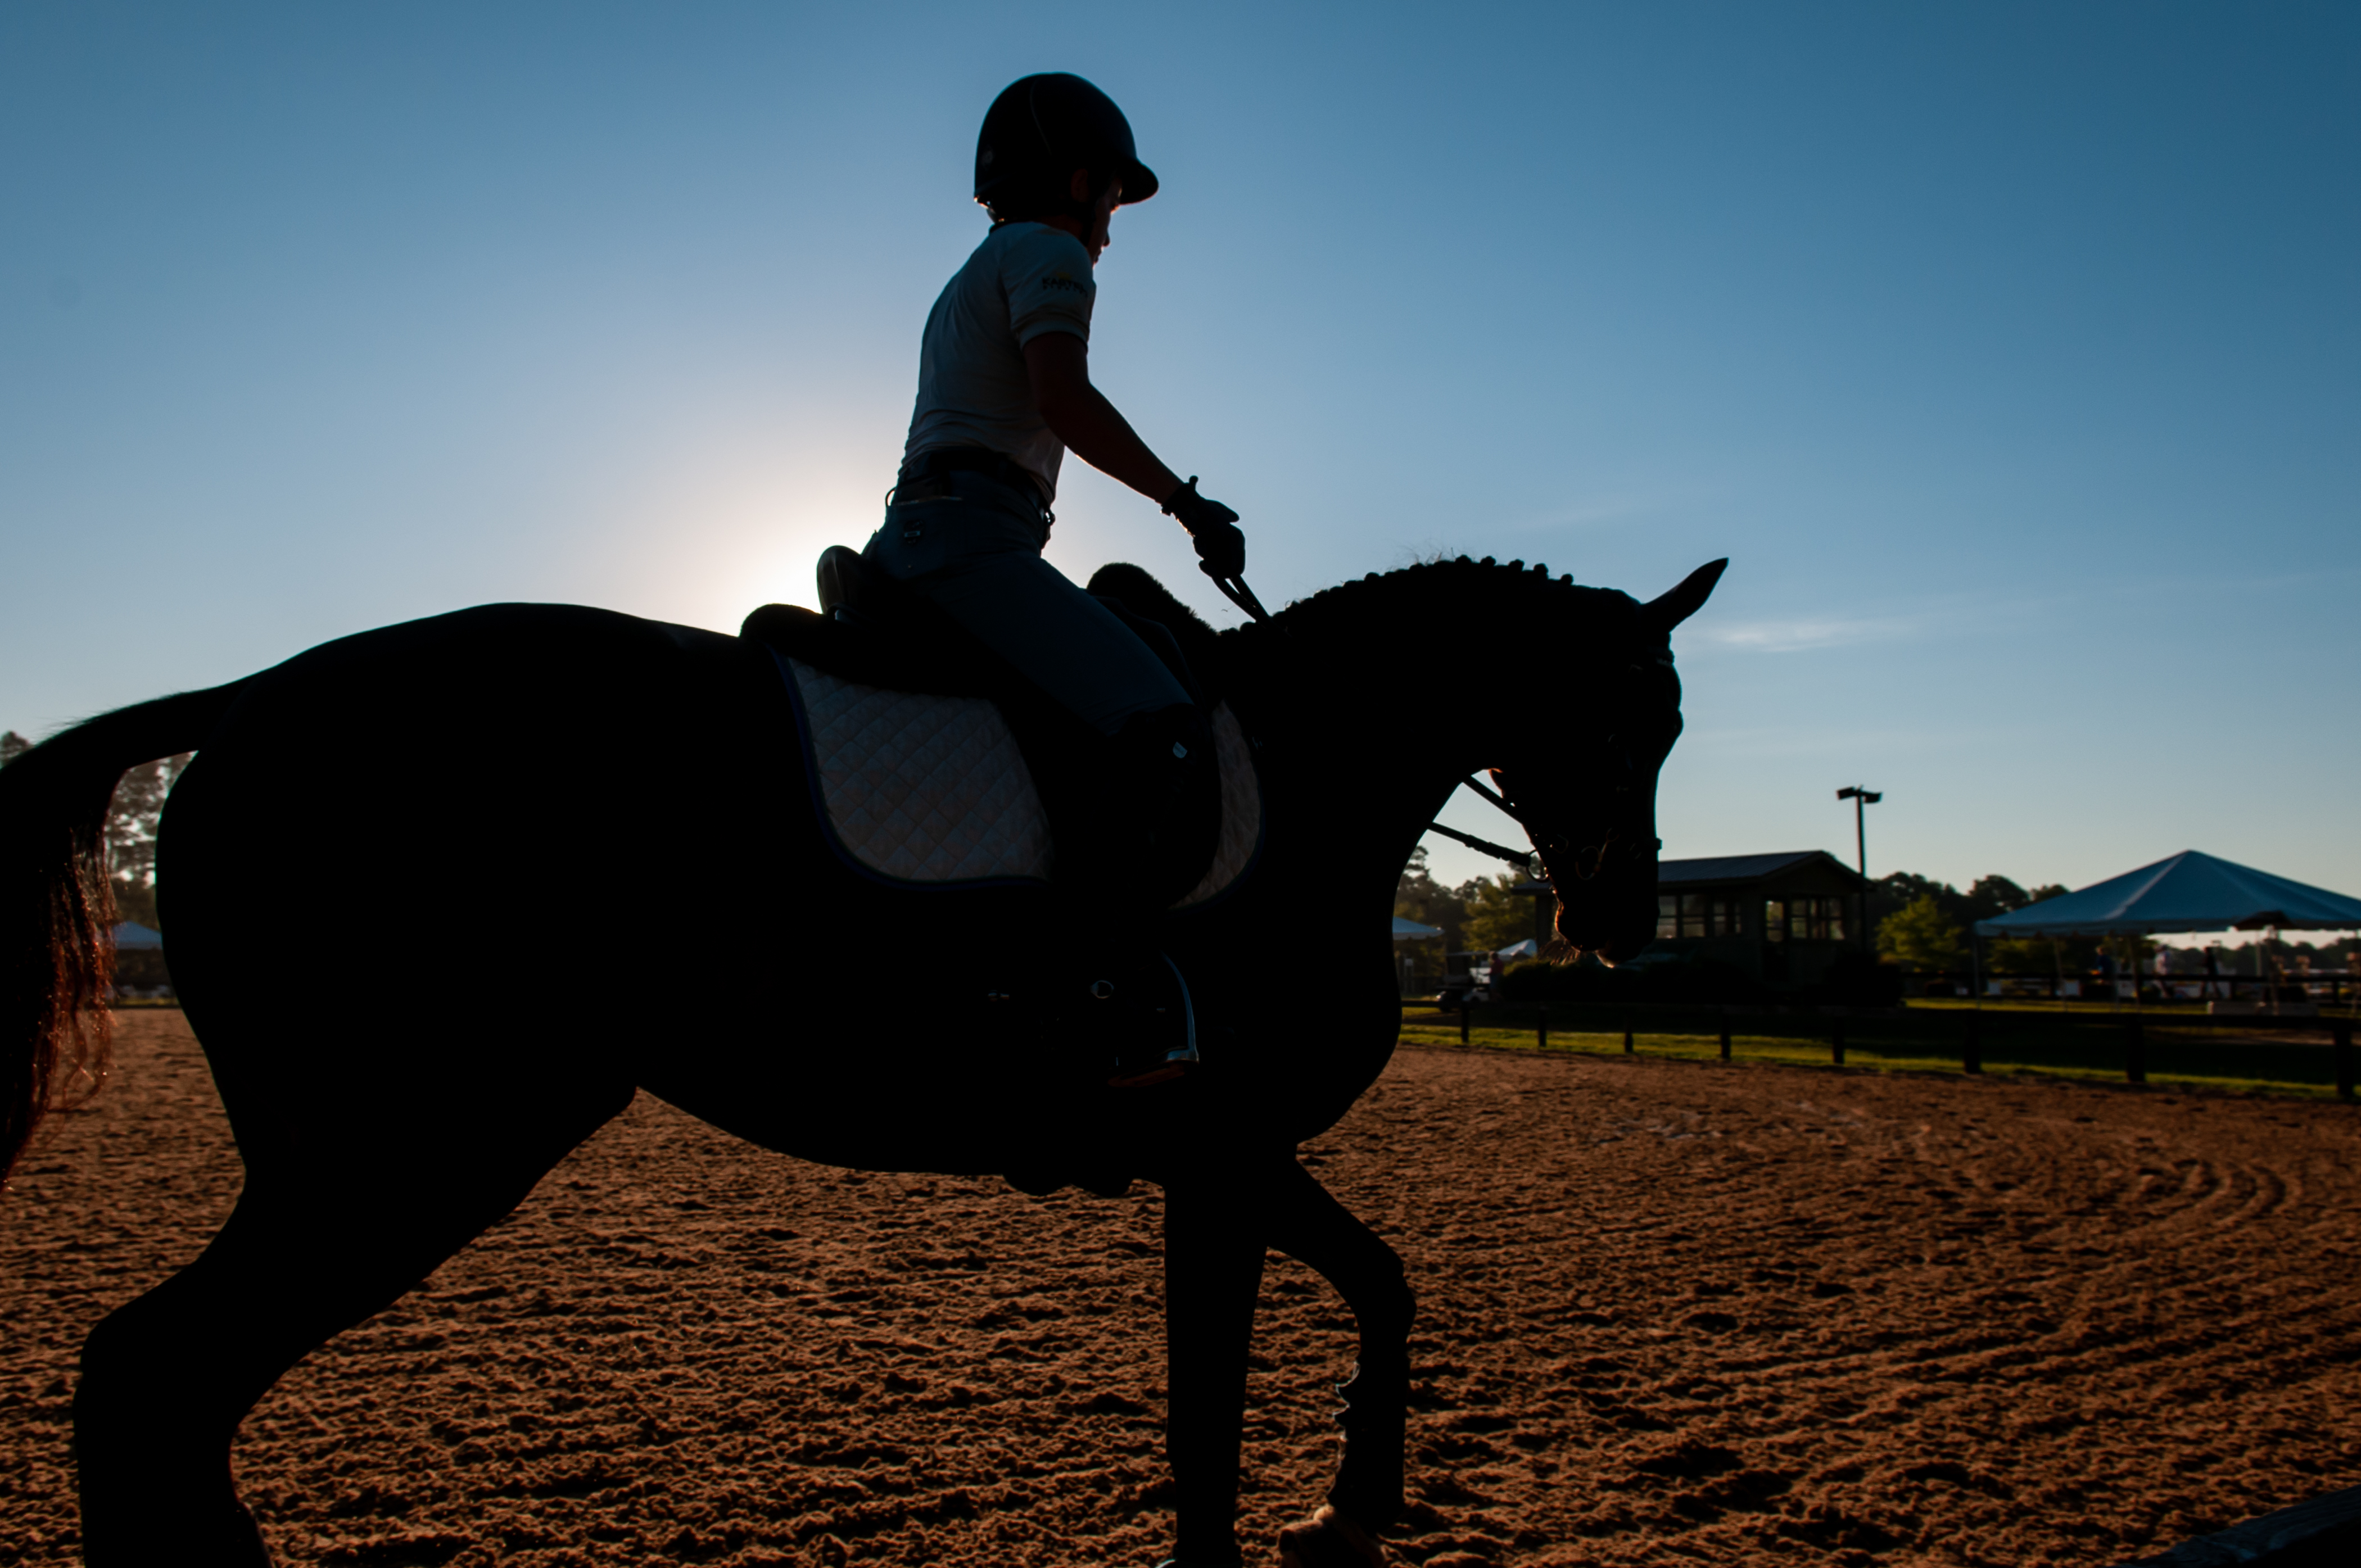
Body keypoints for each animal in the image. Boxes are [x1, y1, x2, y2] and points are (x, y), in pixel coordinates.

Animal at [0, 552, 1723, 1567]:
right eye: (1623, 715)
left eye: (1673, 725)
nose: (1616, 917)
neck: (1303, 781)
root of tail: (256, 696)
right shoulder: (1222, 1158)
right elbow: (1208, 1407)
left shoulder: (1233, 1150)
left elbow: (1381, 1281)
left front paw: (1351, 1505)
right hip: (419, 1147)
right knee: (152, 1370)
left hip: (355, 1155)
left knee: (163, 1382)